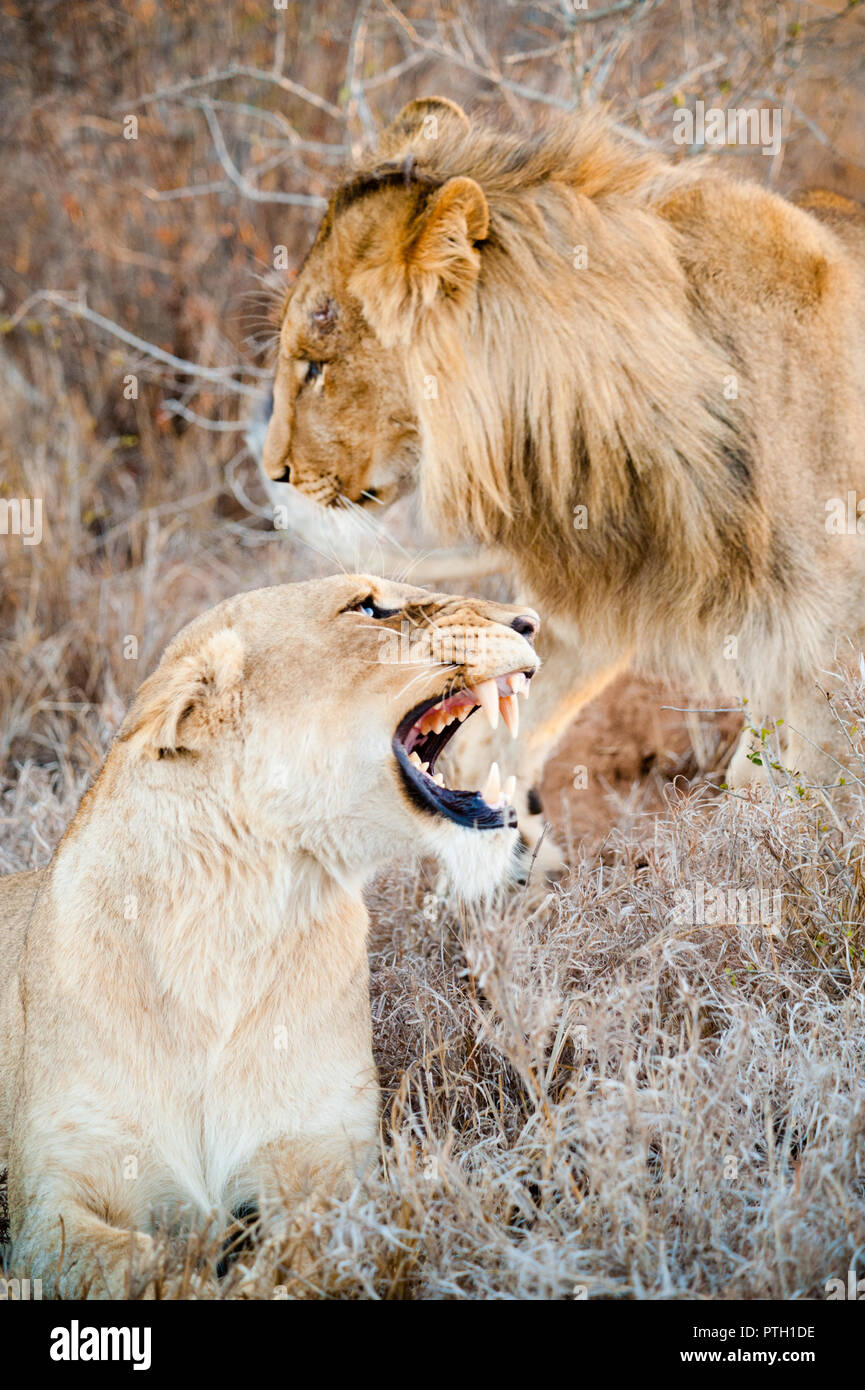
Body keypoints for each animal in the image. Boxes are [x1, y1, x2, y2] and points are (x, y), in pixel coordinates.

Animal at [0, 574, 538, 1298]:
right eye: (368, 607)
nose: (530, 620)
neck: (231, 924)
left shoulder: (328, 1170)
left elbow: (300, 1258)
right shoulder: (49, 1207)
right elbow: (135, 1262)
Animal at [261, 96, 865, 856]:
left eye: (316, 365)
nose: (275, 472)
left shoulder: (826, 623)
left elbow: (814, 789)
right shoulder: (592, 584)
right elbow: (487, 737)